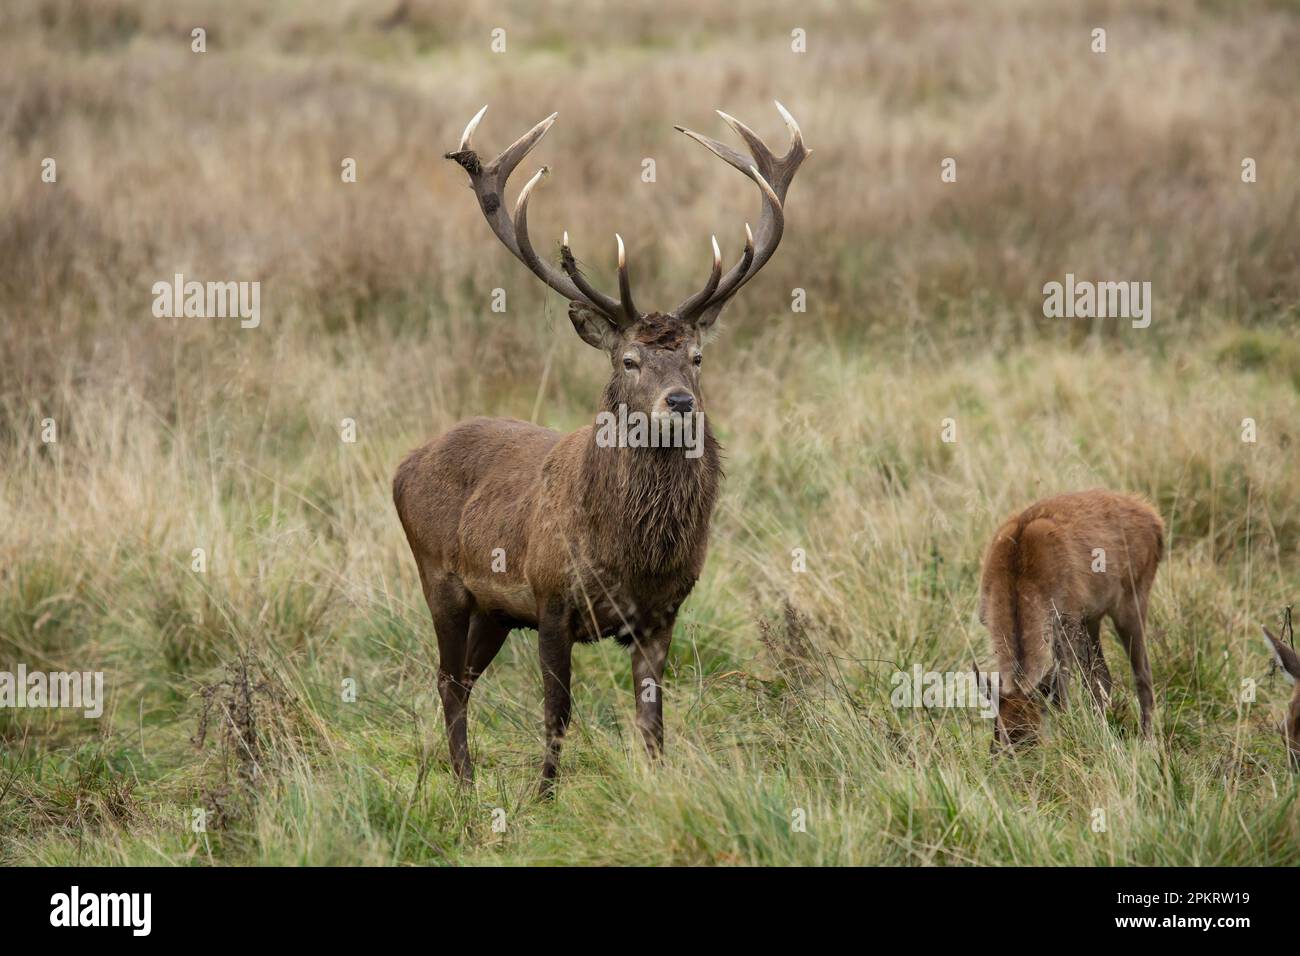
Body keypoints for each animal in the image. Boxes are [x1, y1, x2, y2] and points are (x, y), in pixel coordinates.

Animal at [393, 103, 809, 792]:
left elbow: (652, 721)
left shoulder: (662, 614)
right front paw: (542, 796)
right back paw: (465, 783)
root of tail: (402, 466)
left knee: (463, 680)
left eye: (697, 357)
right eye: (629, 359)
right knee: (449, 681)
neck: (632, 555)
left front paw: (659, 785)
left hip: (495, 611)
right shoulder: (552, 598)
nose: (680, 403)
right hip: (441, 579)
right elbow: (557, 711)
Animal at [977, 489, 1164, 747]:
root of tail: (1155, 520)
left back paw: (1147, 741)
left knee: (1142, 673)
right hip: (1092, 618)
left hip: (1133, 599)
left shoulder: (1065, 621)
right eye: (998, 735)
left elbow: (1061, 690)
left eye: (1033, 735)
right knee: (1103, 677)